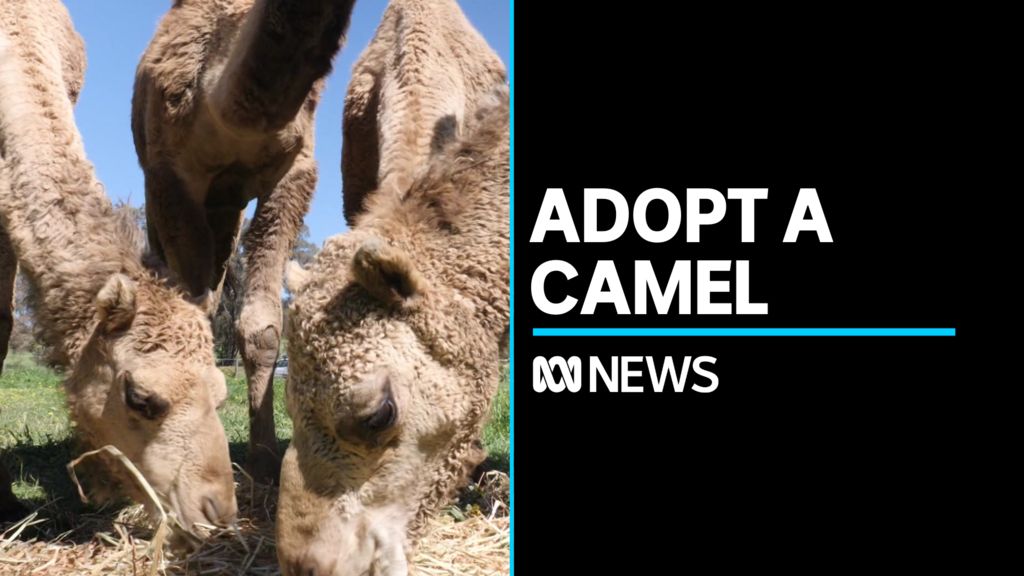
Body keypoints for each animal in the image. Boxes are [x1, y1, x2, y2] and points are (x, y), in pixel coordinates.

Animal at [132, 0, 356, 483]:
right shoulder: (170, 174)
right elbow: (192, 317)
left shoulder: (294, 169)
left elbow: (262, 325)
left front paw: (266, 457)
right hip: (159, 211)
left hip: (225, 216)